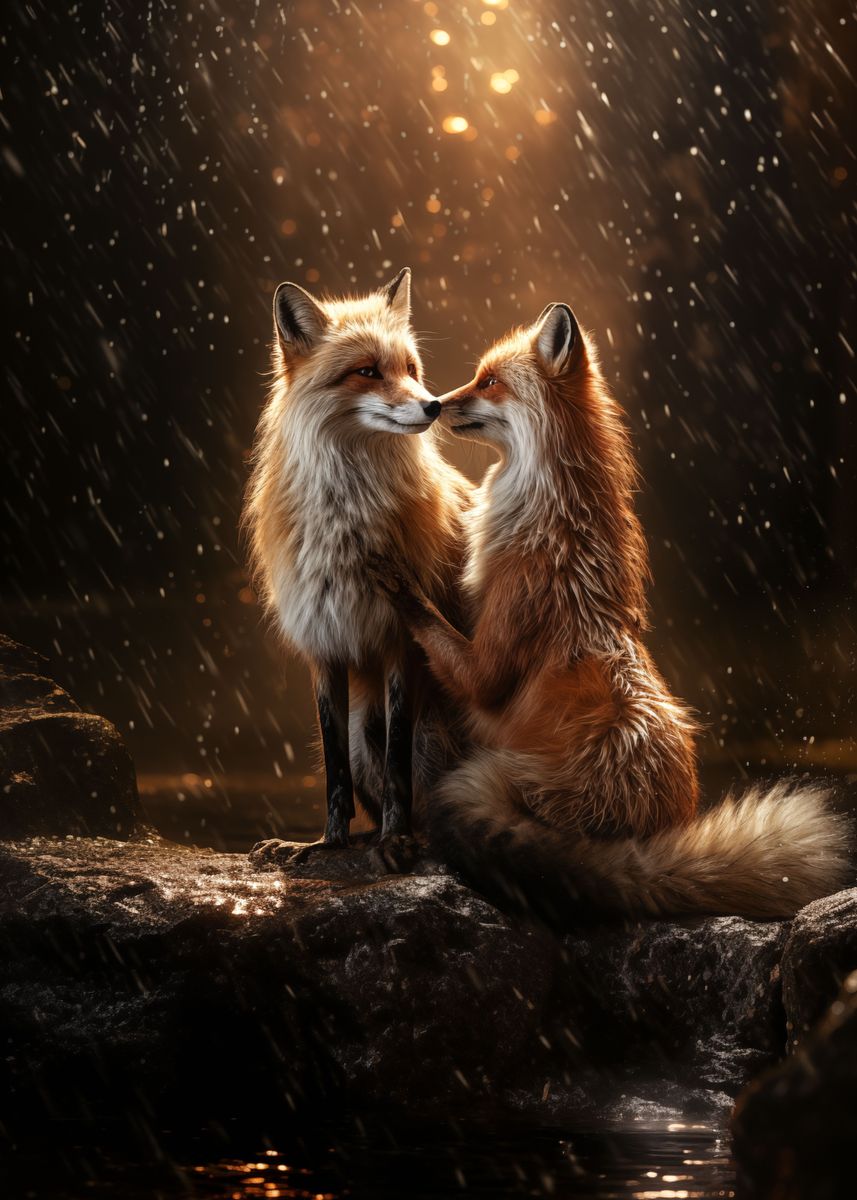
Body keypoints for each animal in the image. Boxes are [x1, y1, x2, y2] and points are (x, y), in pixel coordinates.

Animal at [243, 268, 472, 862]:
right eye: (368, 371)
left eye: (411, 370)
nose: (435, 405)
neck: (346, 519)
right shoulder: (322, 646)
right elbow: (334, 774)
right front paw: (327, 843)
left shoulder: (401, 641)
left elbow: (397, 766)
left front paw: (395, 840)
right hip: (357, 726)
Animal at [370, 301, 851, 920]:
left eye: (490, 382)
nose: (435, 404)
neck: (552, 515)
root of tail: (645, 835)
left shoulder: (489, 668)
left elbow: (431, 622)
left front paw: (396, 577)